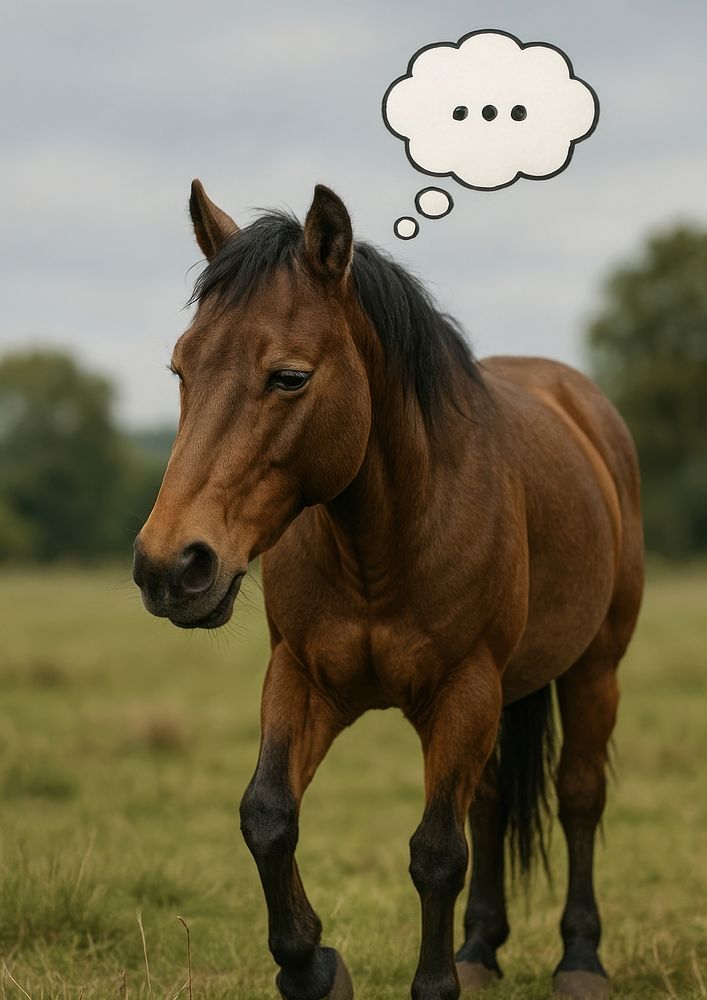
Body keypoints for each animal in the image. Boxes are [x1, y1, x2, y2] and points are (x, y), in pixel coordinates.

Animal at [133, 181, 644, 1000]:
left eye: (290, 377)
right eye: (182, 369)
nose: (170, 566)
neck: (380, 546)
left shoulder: (464, 689)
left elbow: (436, 852)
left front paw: (431, 984)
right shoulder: (302, 677)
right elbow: (268, 816)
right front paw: (311, 967)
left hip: (593, 670)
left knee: (578, 795)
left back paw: (580, 960)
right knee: (492, 804)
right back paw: (479, 949)